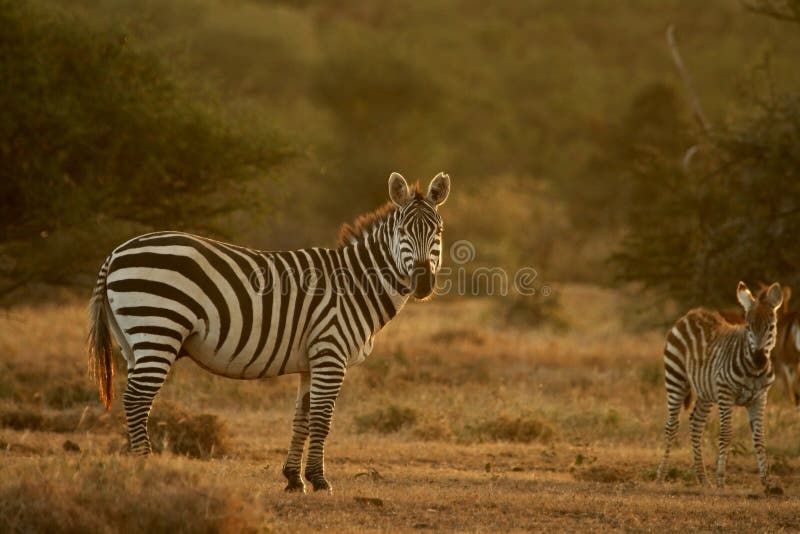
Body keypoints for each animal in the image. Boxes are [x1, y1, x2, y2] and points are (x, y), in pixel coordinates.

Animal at [88, 172, 451, 493]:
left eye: (438, 230)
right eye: (402, 230)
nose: (422, 283)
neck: (356, 283)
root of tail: (116, 252)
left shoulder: (311, 361)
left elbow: (302, 418)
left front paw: (294, 479)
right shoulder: (331, 353)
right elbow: (322, 419)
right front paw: (319, 480)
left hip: (133, 340)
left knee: (131, 398)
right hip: (158, 329)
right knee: (137, 399)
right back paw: (145, 467)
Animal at [655, 281, 784, 492]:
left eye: (771, 327)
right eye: (748, 327)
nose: (759, 359)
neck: (754, 372)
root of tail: (690, 314)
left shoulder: (760, 397)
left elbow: (759, 439)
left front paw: (768, 483)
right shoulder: (726, 394)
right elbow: (726, 434)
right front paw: (721, 481)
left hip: (705, 391)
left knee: (696, 423)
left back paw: (703, 479)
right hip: (675, 377)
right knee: (671, 426)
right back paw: (660, 477)